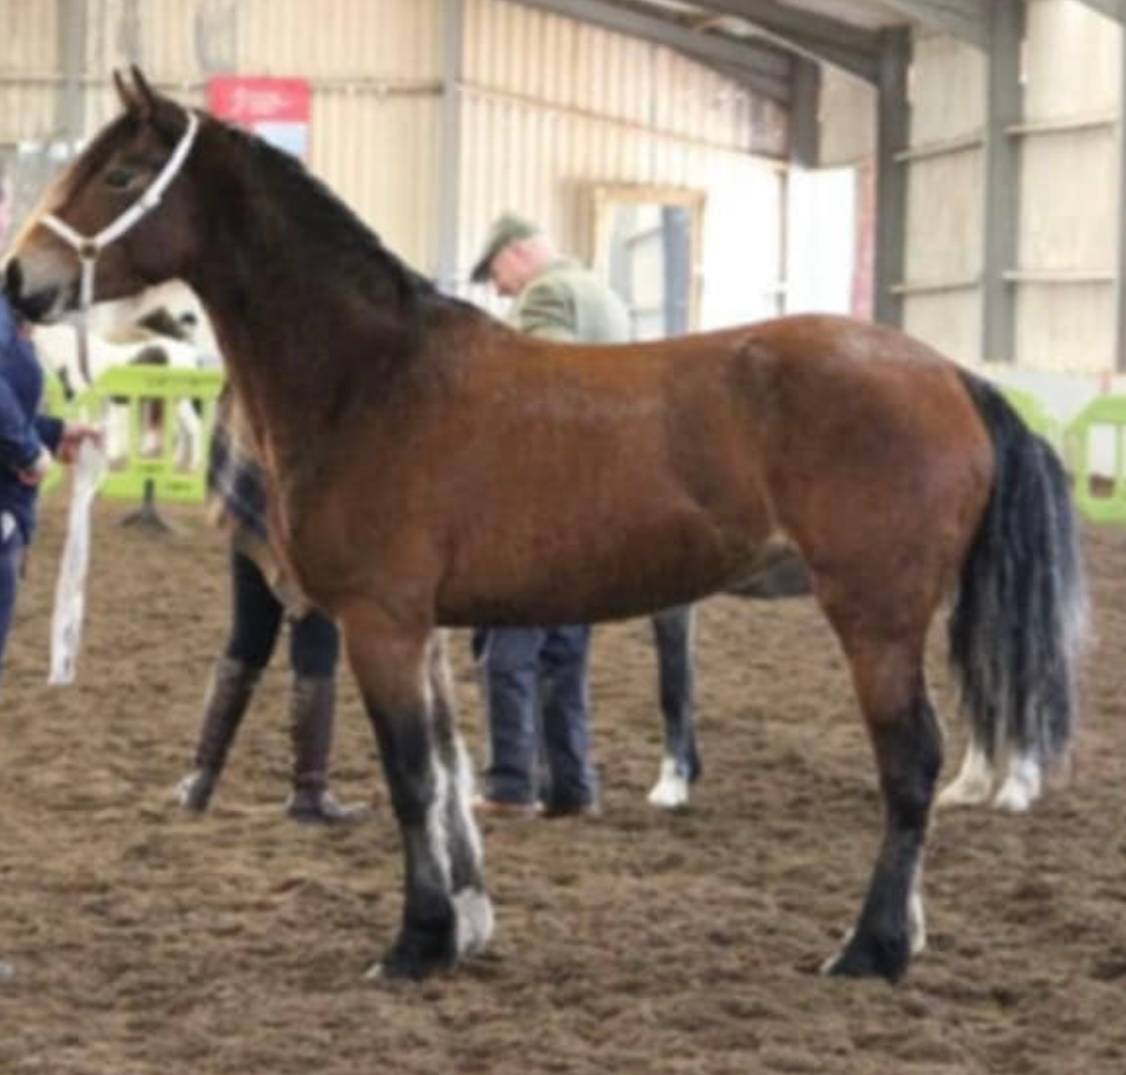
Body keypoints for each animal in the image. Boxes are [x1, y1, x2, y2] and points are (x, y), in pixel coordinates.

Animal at [2, 68, 1087, 984]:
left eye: (122, 172)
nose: (22, 281)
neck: (374, 375)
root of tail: (950, 375)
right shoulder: (421, 630)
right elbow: (445, 773)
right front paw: (465, 926)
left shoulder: (380, 622)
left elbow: (408, 777)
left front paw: (414, 943)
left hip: (876, 619)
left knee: (910, 765)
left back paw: (870, 948)